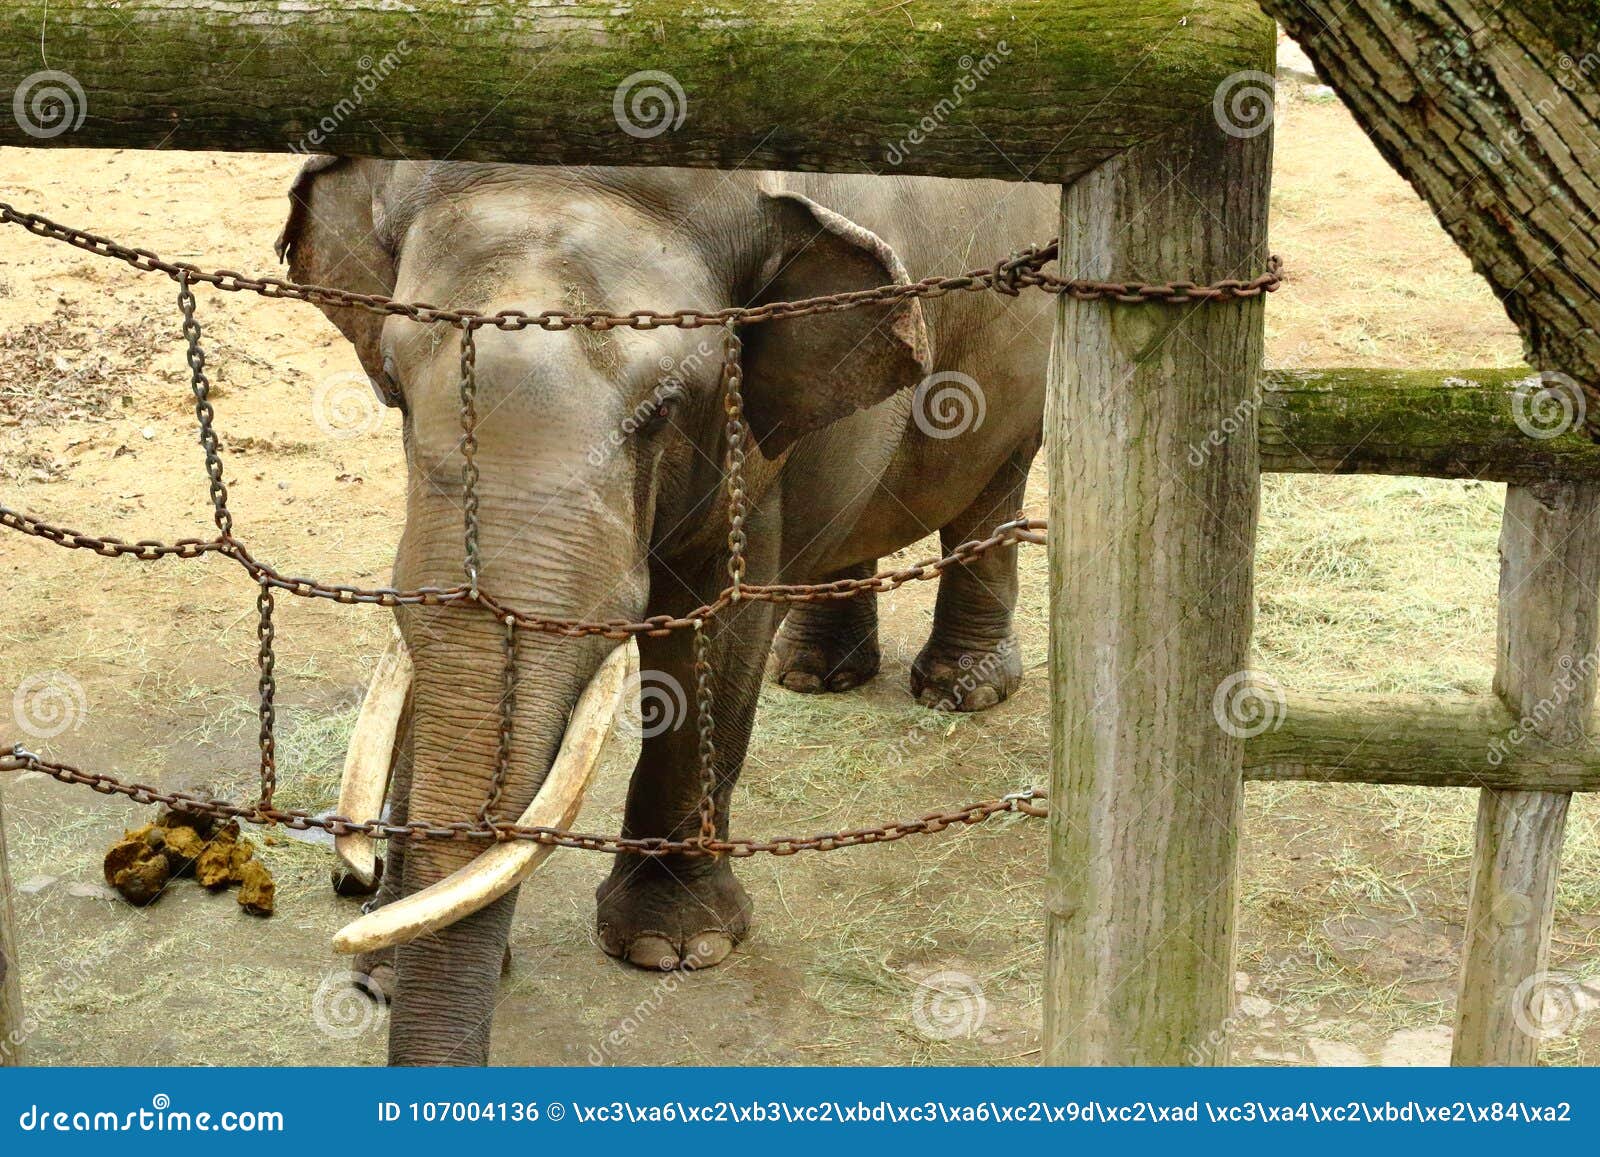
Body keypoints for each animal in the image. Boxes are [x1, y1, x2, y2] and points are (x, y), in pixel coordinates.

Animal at [277, 159, 1055, 1064]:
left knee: (992, 485)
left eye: (660, 411)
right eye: (396, 389)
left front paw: (672, 947)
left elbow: (710, 632)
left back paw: (960, 690)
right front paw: (386, 962)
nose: (359, 893)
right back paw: (816, 675)